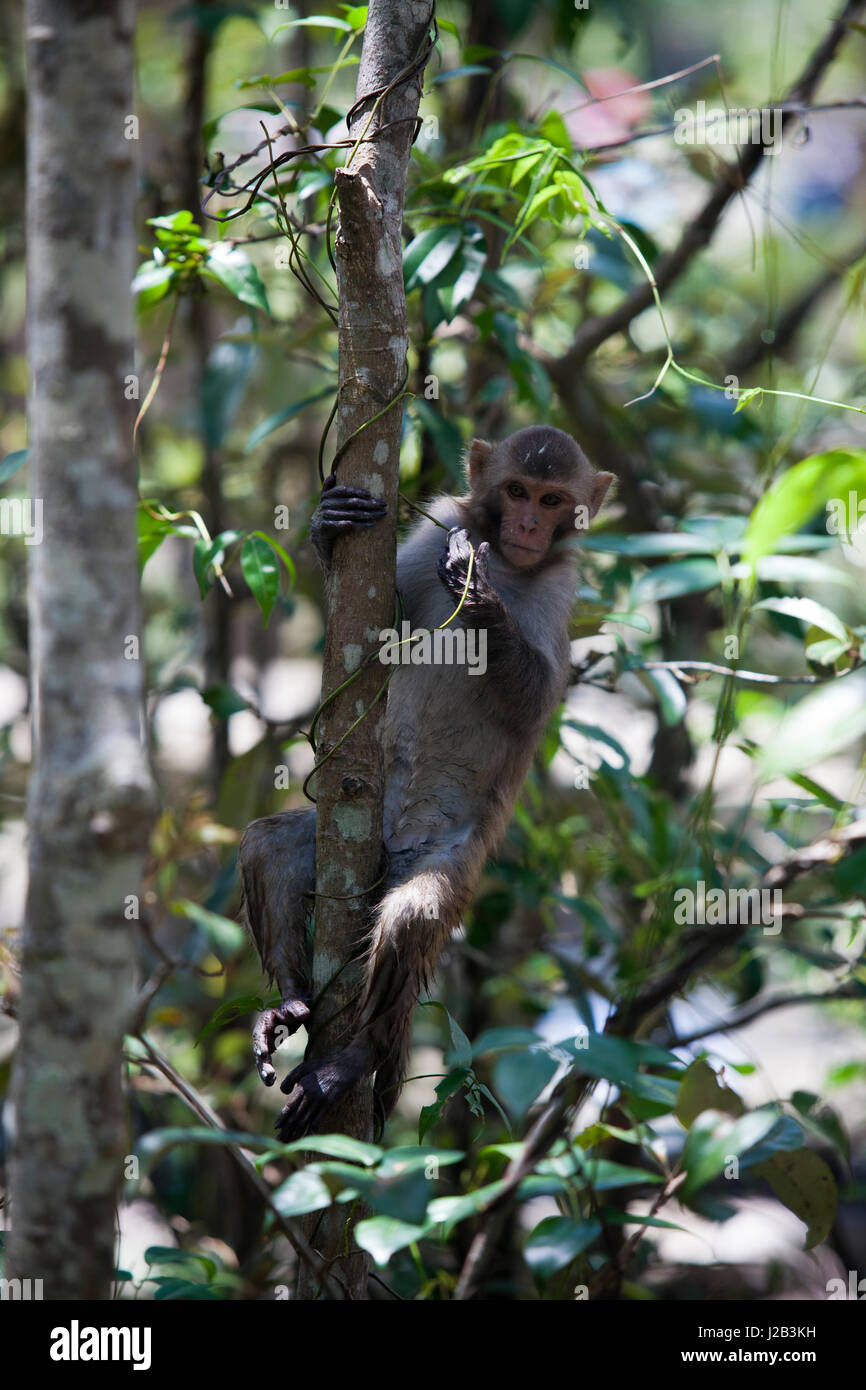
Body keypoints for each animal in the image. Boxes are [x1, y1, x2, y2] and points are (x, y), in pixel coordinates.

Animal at [239, 426, 613, 1141]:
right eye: (517, 490)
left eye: (552, 499)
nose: (528, 525)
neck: (515, 562)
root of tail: (392, 849)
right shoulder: (433, 527)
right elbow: (375, 619)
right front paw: (327, 525)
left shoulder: (560, 586)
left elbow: (537, 698)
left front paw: (481, 595)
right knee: (268, 846)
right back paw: (291, 1005)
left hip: (451, 861)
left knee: (414, 914)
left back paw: (354, 1060)